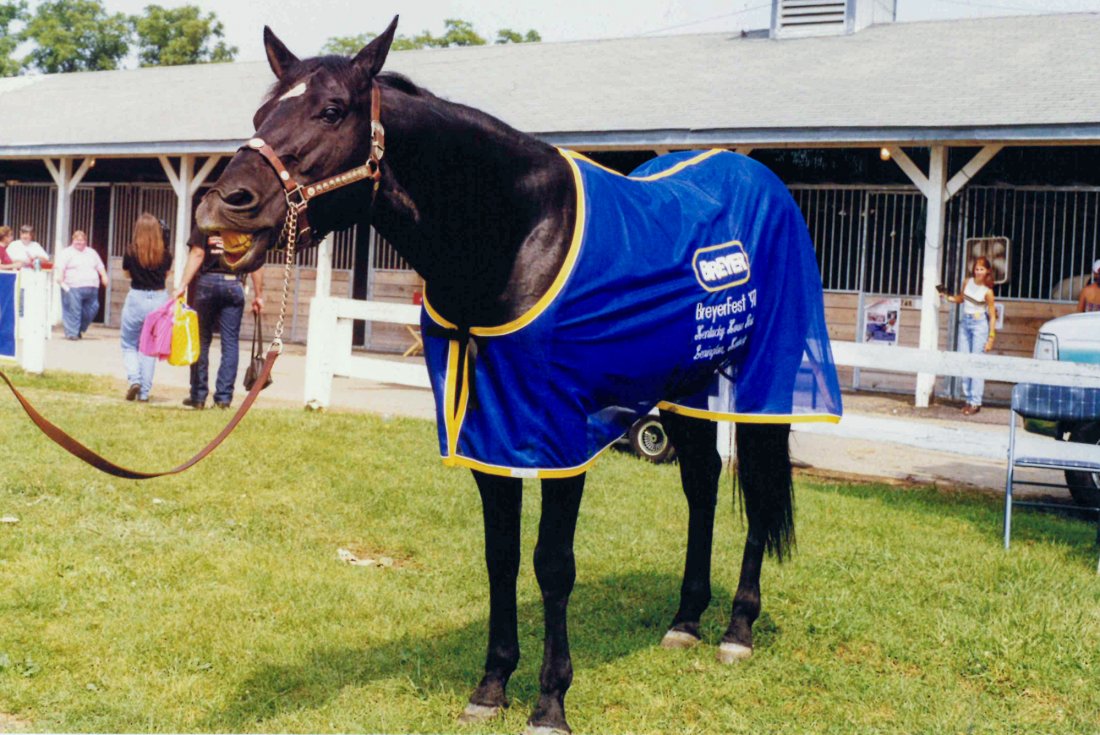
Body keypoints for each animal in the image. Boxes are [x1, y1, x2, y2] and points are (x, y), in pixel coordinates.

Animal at [195, 18, 842, 735]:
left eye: (332, 110)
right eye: (262, 116)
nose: (224, 205)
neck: (514, 236)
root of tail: (755, 174)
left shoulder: (559, 433)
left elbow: (552, 564)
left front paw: (550, 702)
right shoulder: (487, 425)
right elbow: (499, 556)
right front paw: (491, 686)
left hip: (765, 375)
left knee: (757, 490)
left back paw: (737, 630)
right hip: (684, 382)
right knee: (701, 483)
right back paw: (685, 621)